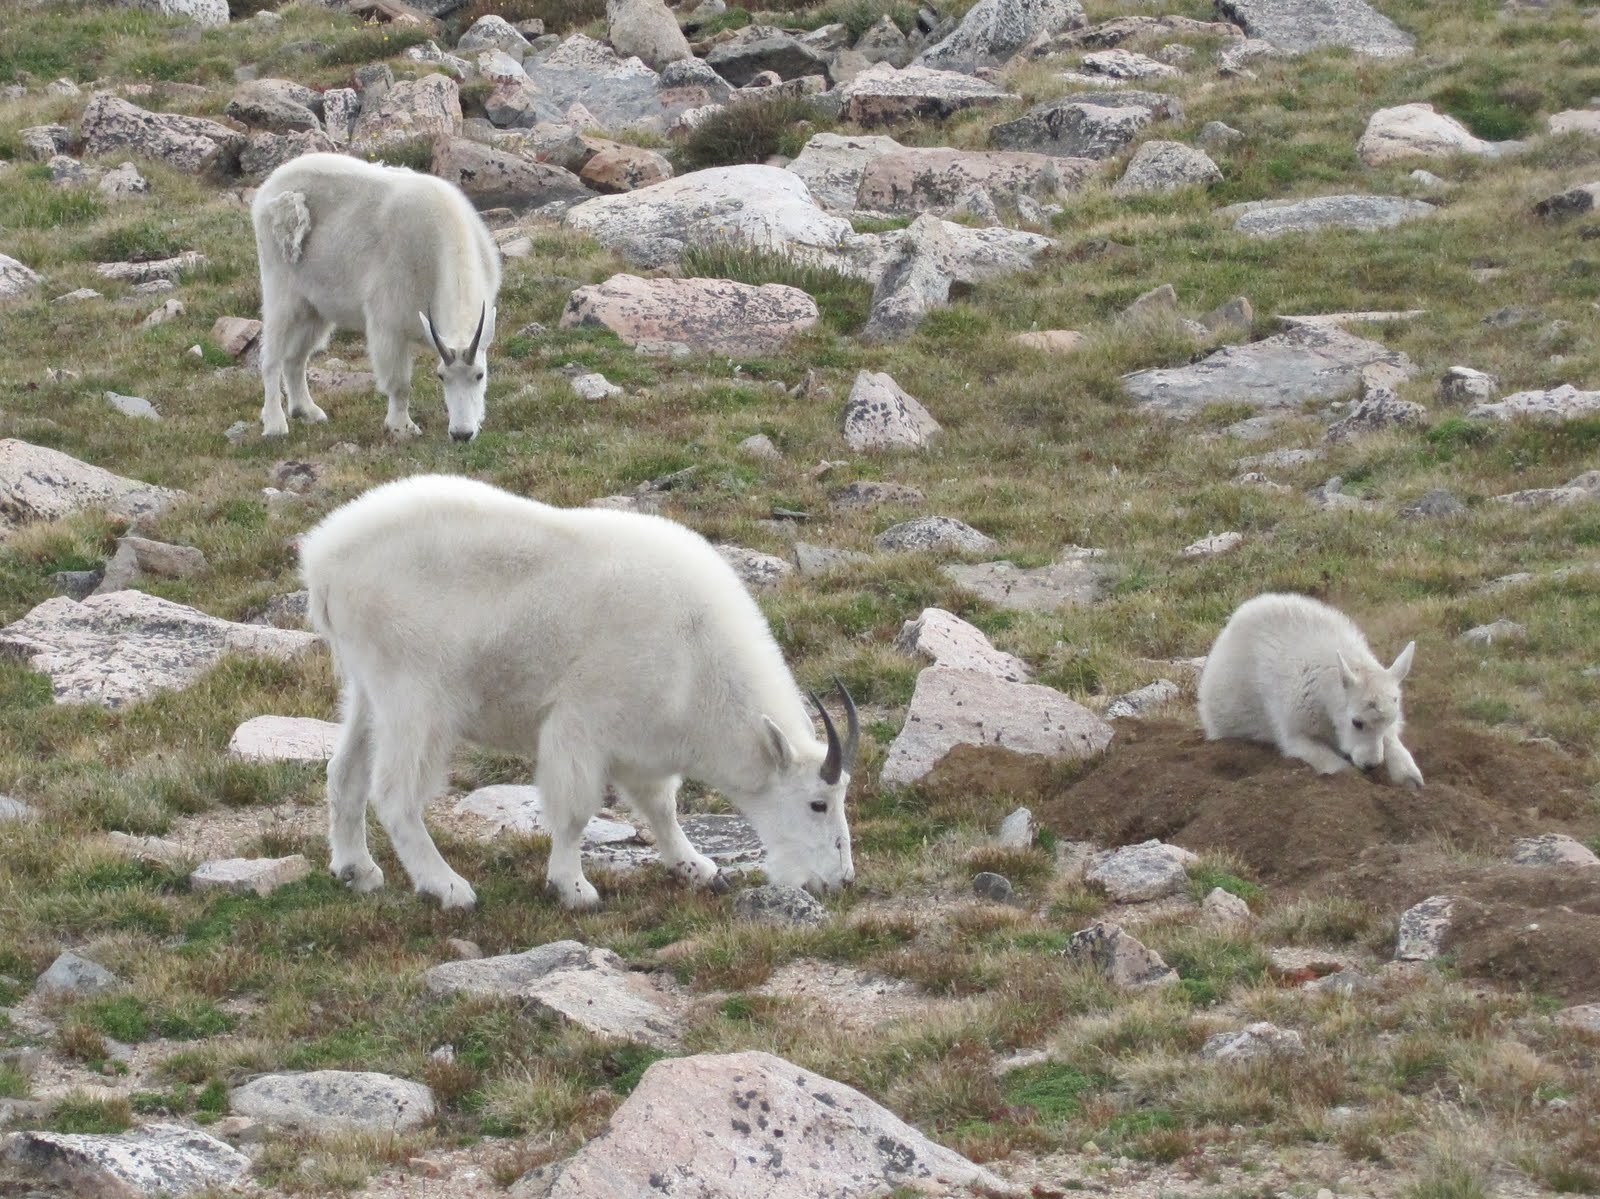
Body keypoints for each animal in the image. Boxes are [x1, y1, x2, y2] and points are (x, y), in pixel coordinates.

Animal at [251, 153, 501, 442]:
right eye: (441, 376)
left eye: (480, 375)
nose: (462, 434)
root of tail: (267, 188)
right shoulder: (389, 321)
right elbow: (399, 383)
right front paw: (402, 428)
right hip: (280, 291)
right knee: (271, 358)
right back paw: (275, 425)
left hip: (315, 306)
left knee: (296, 358)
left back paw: (308, 411)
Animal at [299, 474, 859, 910]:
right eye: (818, 804)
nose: (840, 880)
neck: (695, 653)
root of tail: (323, 565)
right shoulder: (582, 723)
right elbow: (573, 812)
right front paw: (572, 888)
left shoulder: (643, 742)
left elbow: (661, 807)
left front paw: (697, 866)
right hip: (417, 695)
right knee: (396, 794)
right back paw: (448, 887)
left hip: (369, 690)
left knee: (344, 774)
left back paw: (357, 870)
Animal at [1197, 592, 1422, 788]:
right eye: (1356, 722)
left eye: (1389, 720)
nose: (1371, 765)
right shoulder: (1295, 731)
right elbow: (1334, 765)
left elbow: (1393, 743)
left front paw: (1411, 780)